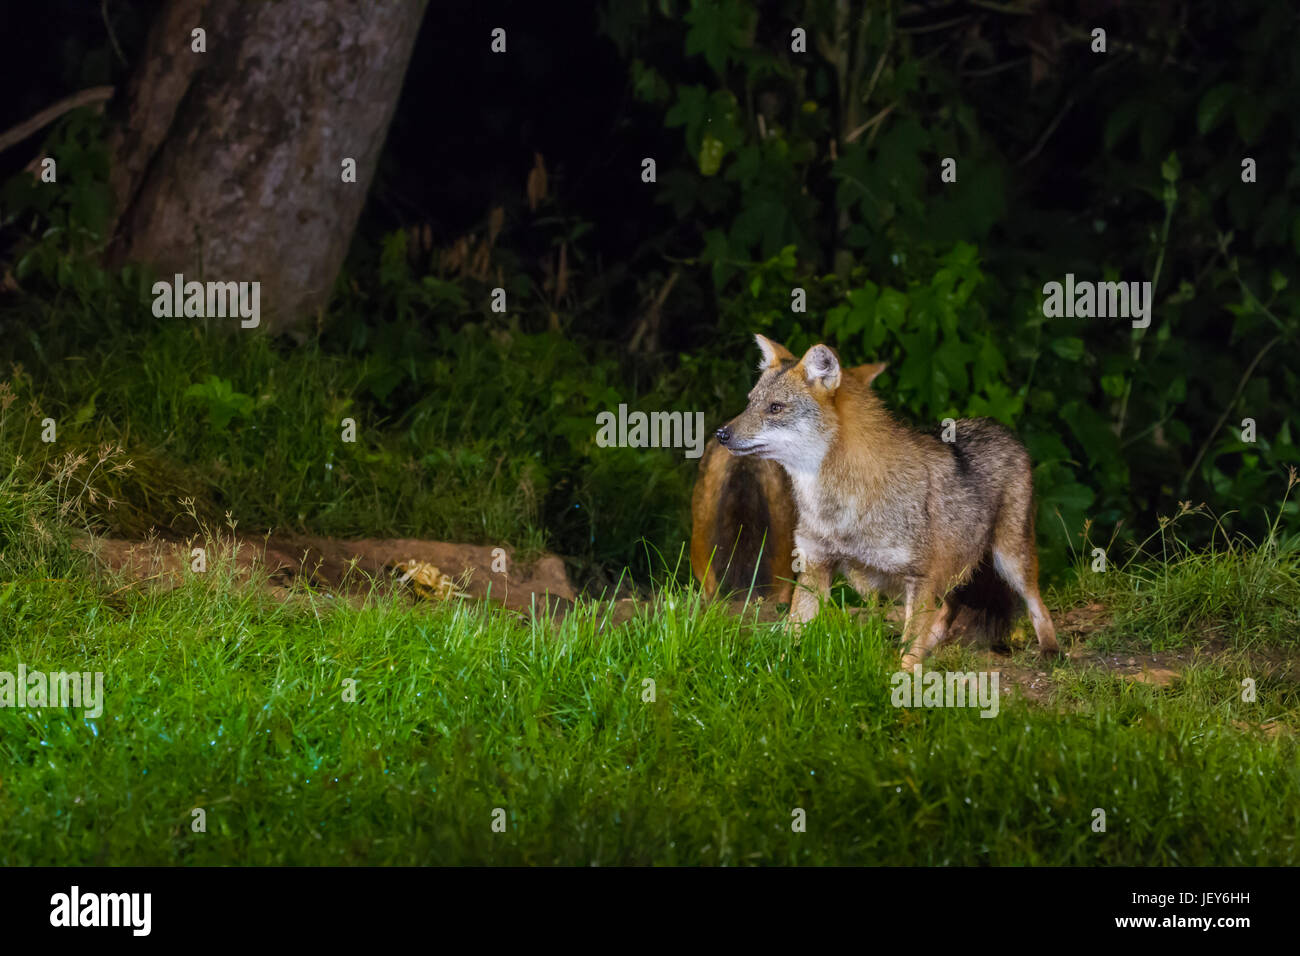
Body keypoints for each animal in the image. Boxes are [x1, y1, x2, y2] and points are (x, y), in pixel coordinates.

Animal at [713, 333, 1060, 668]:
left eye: (775, 408)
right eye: (750, 403)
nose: (721, 434)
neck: (840, 506)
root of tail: (1001, 427)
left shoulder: (920, 576)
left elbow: (909, 649)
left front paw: (903, 681)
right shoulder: (815, 566)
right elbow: (790, 639)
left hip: (1010, 560)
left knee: (1036, 603)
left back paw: (1050, 651)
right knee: (944, 612)